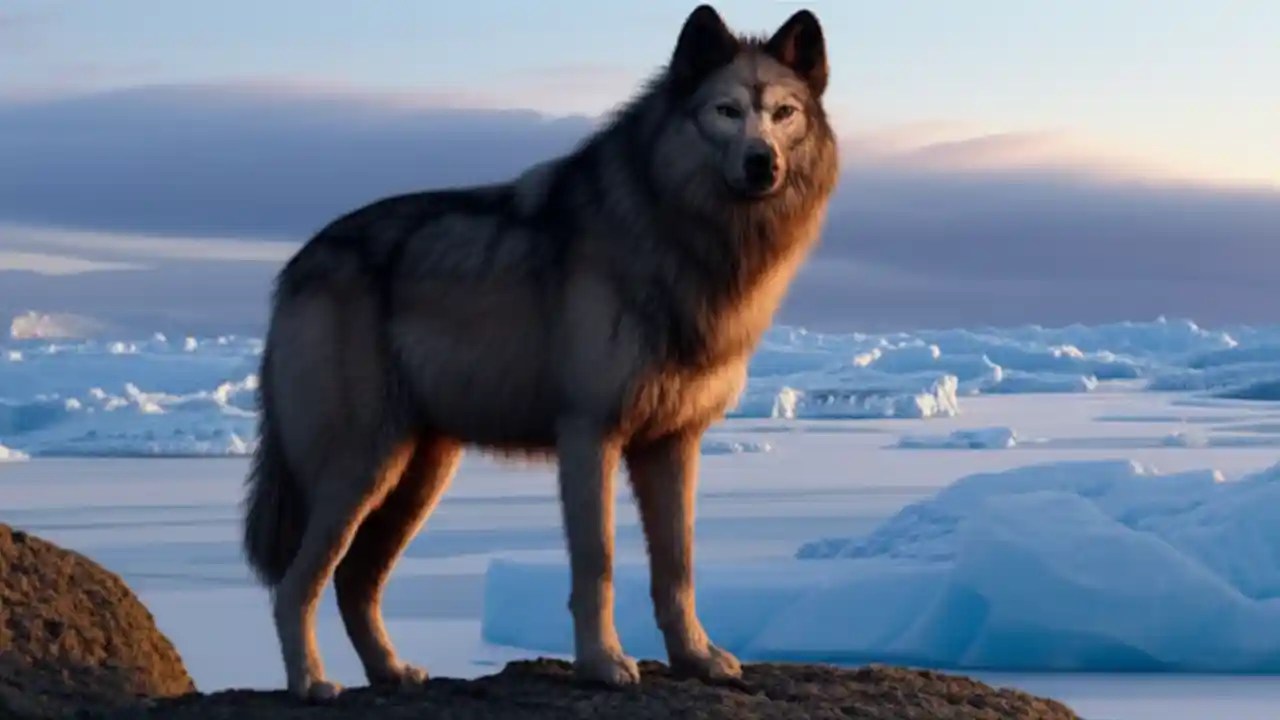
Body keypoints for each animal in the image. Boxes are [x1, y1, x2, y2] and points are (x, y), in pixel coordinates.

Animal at [241, 4, 838, 701]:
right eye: (725, 111)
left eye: (783, 113)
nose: (761, 162)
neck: (685, 237)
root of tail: (296, 265)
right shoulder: (589, 434)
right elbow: (598, 563)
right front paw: (603, 664)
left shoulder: (674, 442)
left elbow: (678, 565)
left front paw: (695, 657)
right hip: (360, 469)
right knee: (296, 585)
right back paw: (311, 680)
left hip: (416, 477)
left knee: (353, 581)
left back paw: (392, 672)